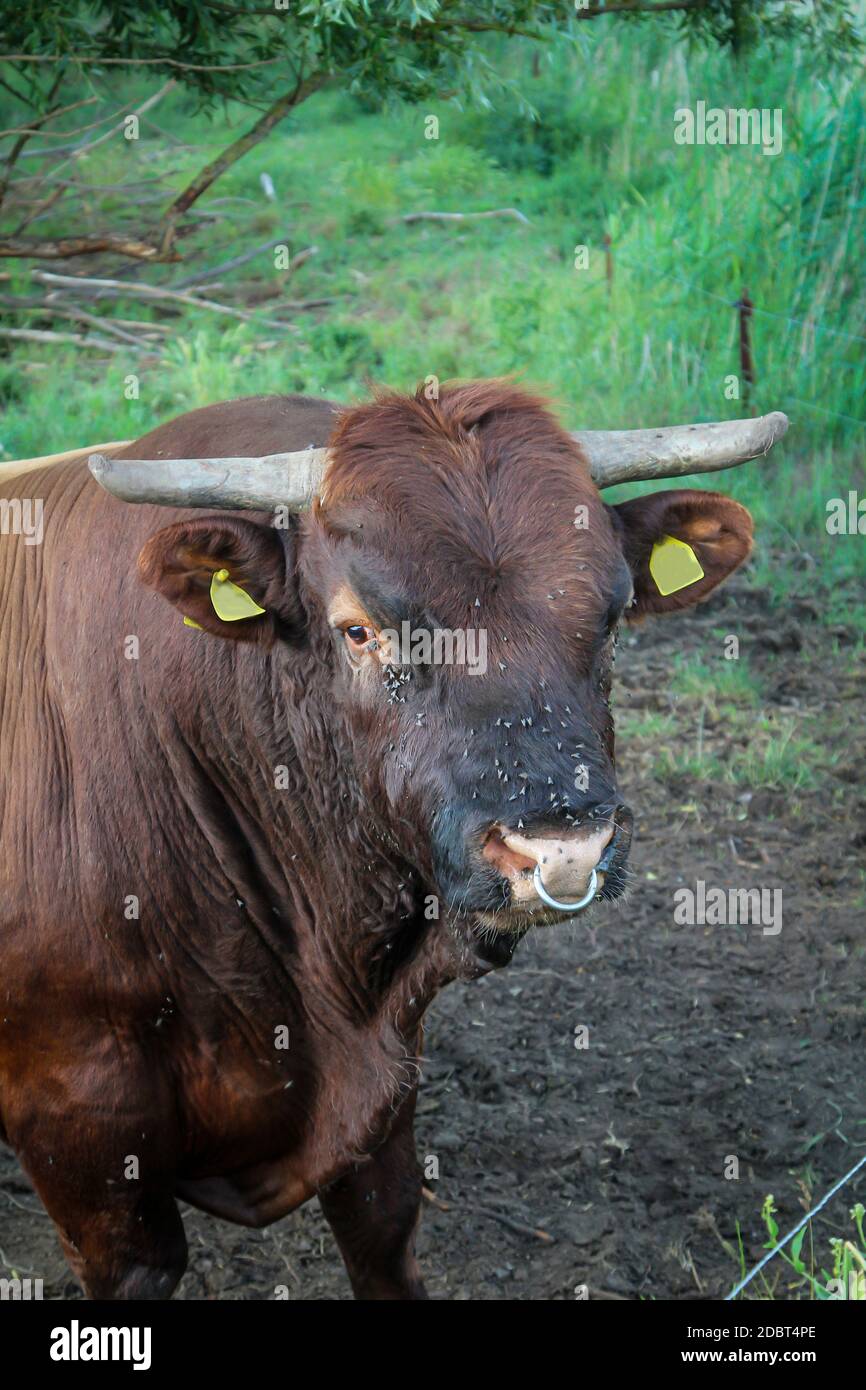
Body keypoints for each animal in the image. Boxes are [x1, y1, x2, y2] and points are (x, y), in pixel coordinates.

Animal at [0, 382, 786, 1299]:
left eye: (614, 613)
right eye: (357, 630)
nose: (562, 849)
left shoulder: (385, 1089)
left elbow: (385, 1233)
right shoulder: (80, 1127)